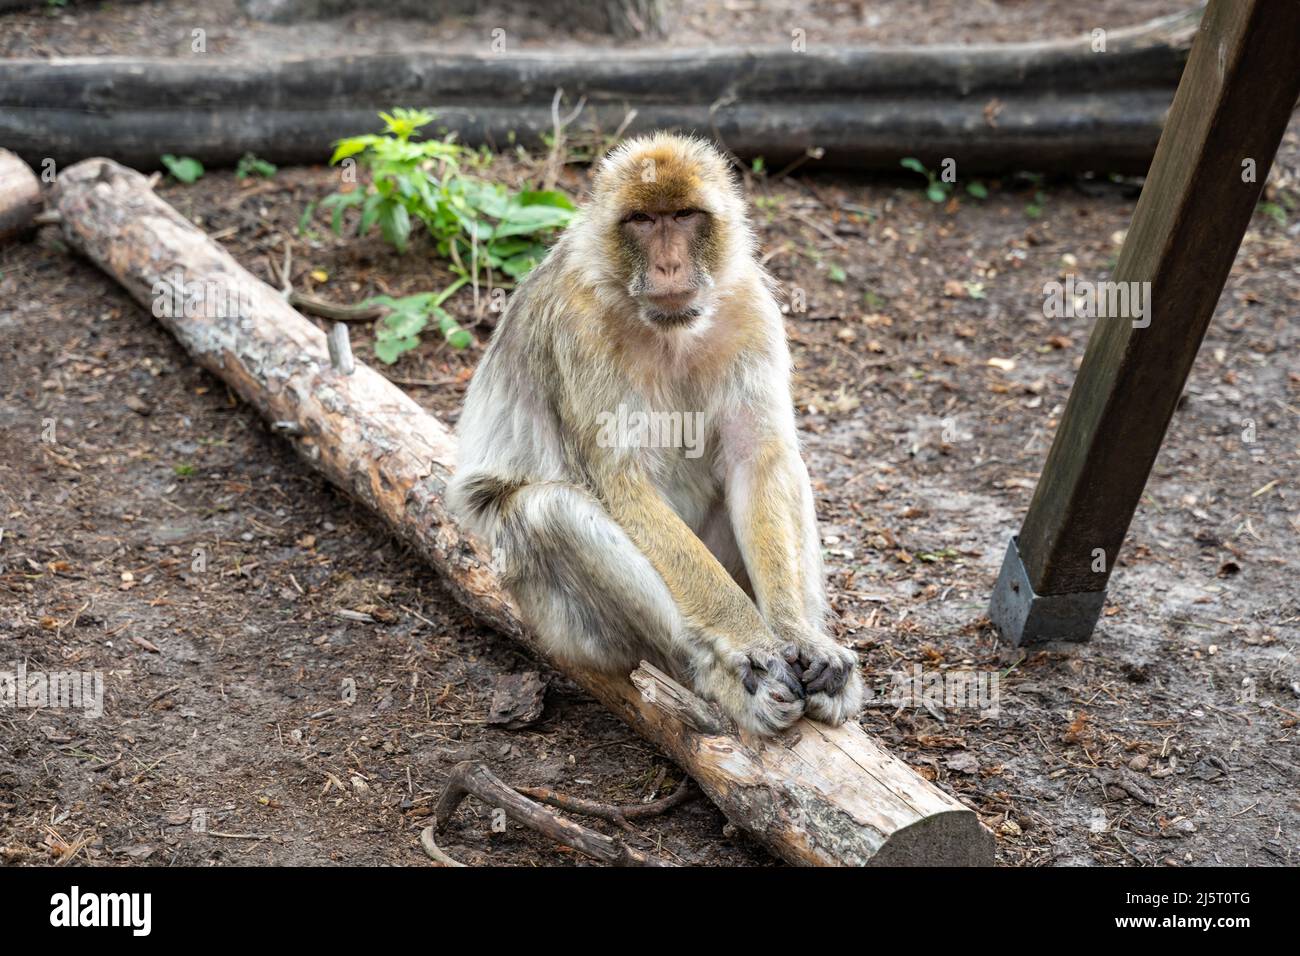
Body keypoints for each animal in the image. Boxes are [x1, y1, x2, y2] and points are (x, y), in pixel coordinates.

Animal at [448, 132, 863, 735]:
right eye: (642, 221)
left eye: (684, 216)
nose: (669, 264)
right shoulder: (579, 328)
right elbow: (624, 487)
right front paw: (750, 641)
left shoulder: (749, 306)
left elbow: (755, 457)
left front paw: (797, 637)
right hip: (565, 630)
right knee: (548, 511)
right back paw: (719, 678)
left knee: (781, 464)